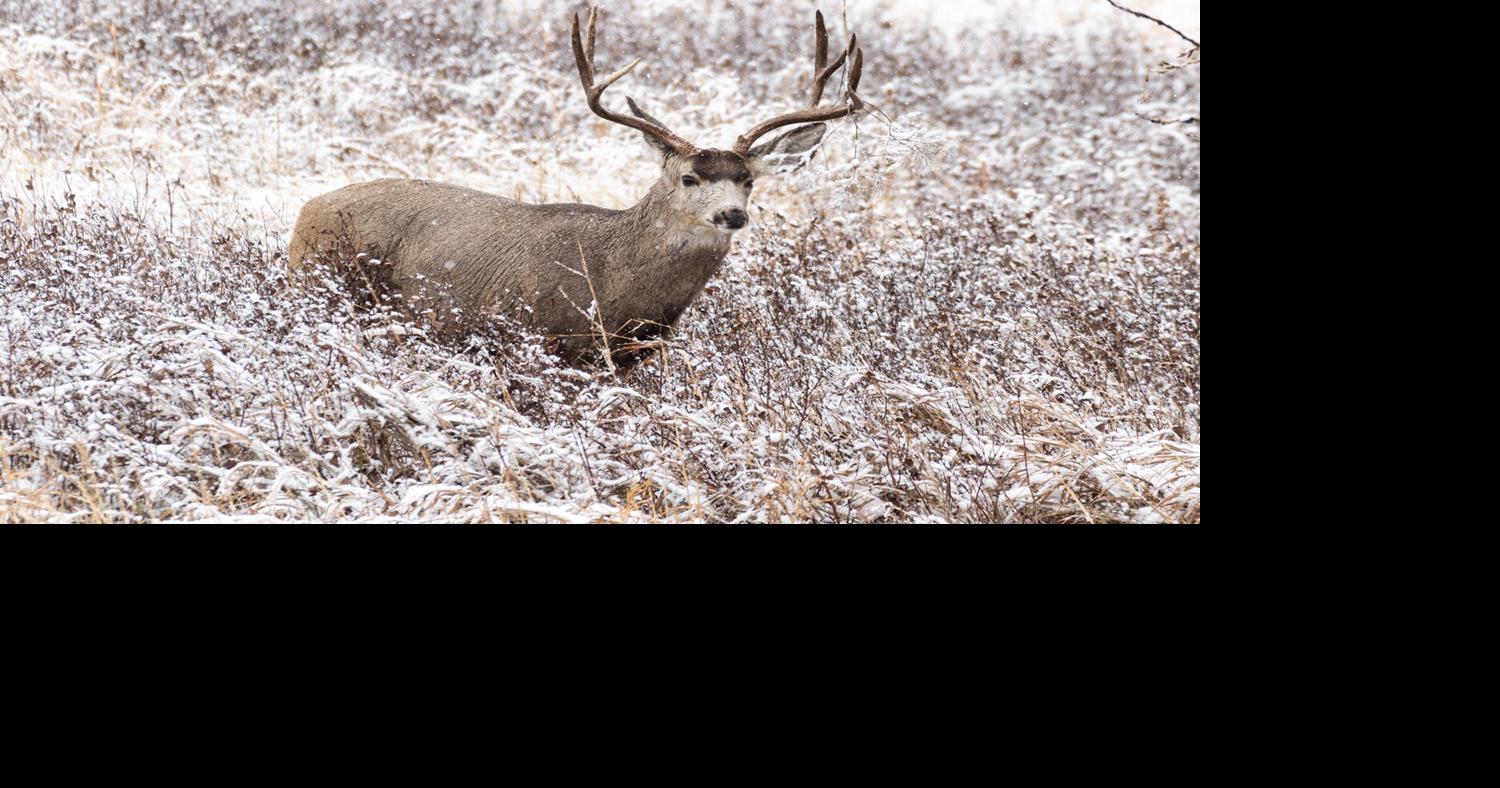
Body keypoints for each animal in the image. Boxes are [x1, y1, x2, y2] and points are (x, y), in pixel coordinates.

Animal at [287, 6, 865, 368]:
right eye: (689, 176)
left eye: (747, 180)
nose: (733, 215)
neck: (615, 283)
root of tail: (305, 211)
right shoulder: (539, 336)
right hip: (320, 285)